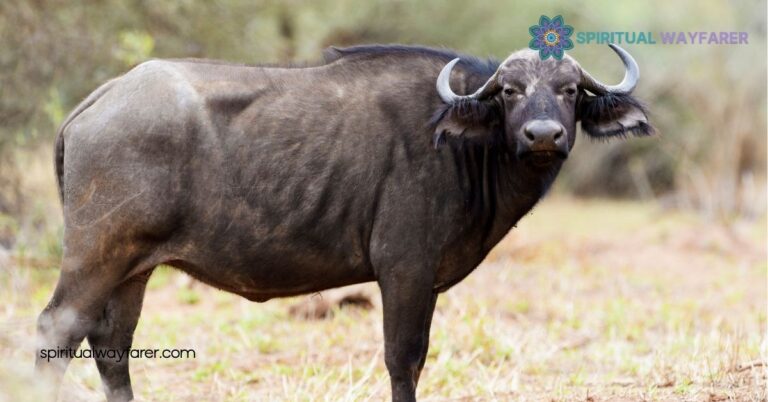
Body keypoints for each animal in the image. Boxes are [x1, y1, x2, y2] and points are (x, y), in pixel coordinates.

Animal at [36, 44, 654, 401]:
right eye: (509, 90)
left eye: (569, 90)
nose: (543, 135)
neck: (461, 144)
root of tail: (101, 97)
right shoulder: (405, 272)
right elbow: (404, 361)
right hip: (95, 257)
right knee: (56, 333)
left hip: (133, 270)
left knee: (112, 346)